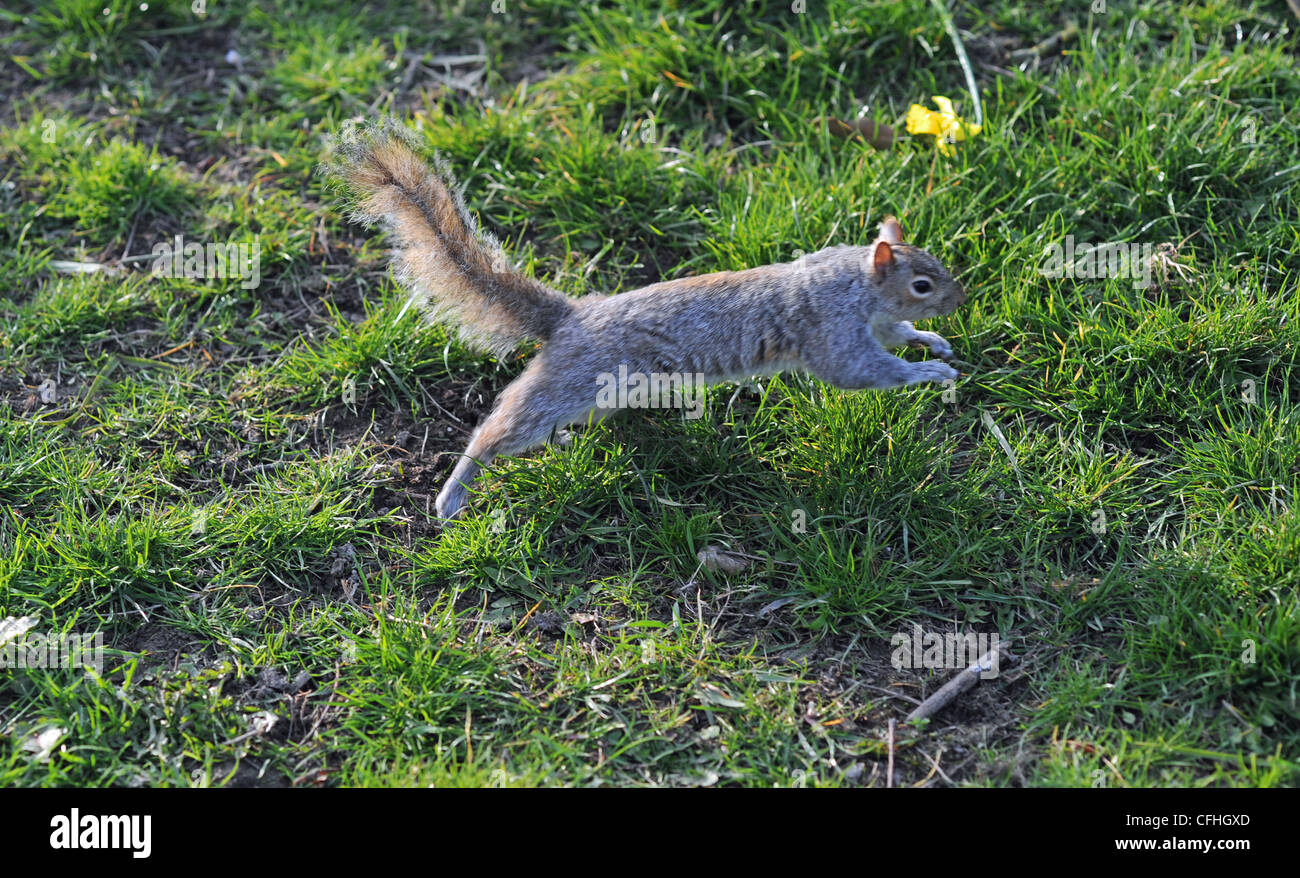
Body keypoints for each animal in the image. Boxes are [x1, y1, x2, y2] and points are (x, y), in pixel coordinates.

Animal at [323, 121, 967, 521]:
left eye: (936, 266)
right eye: (923, 283)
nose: (959, 300)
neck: (860, 287)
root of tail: (572, 317)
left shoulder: (874, 325)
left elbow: (898, 336)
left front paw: (933, 342)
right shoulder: (831, 329)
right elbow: (861, 372)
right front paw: (929, 376)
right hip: (569, 381)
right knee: (499, 429)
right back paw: (454, 492)